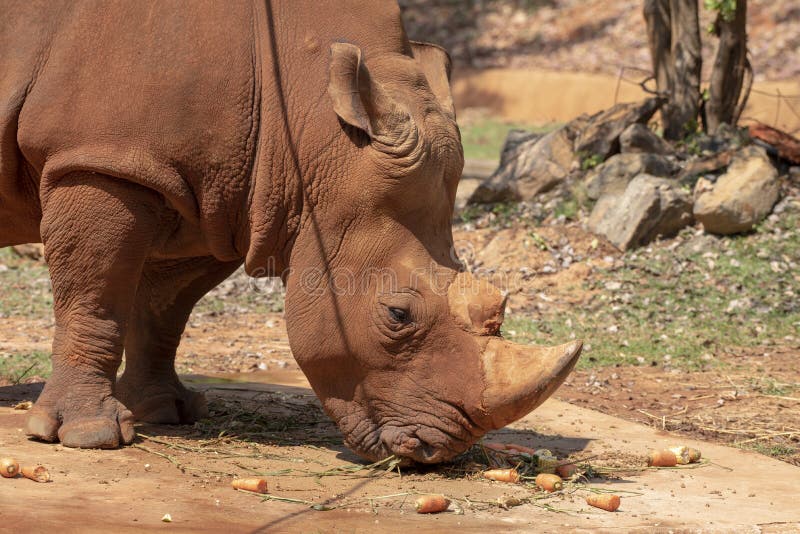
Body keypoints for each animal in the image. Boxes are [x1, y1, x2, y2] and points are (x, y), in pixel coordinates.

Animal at [0, 0, 581, 464]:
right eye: (398, 314)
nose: (435, 452)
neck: (311, 124)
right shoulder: (103, 160)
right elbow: (95, 295)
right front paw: (90, 437)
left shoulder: (219, 196)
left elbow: (166, 307)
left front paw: (169, 411)